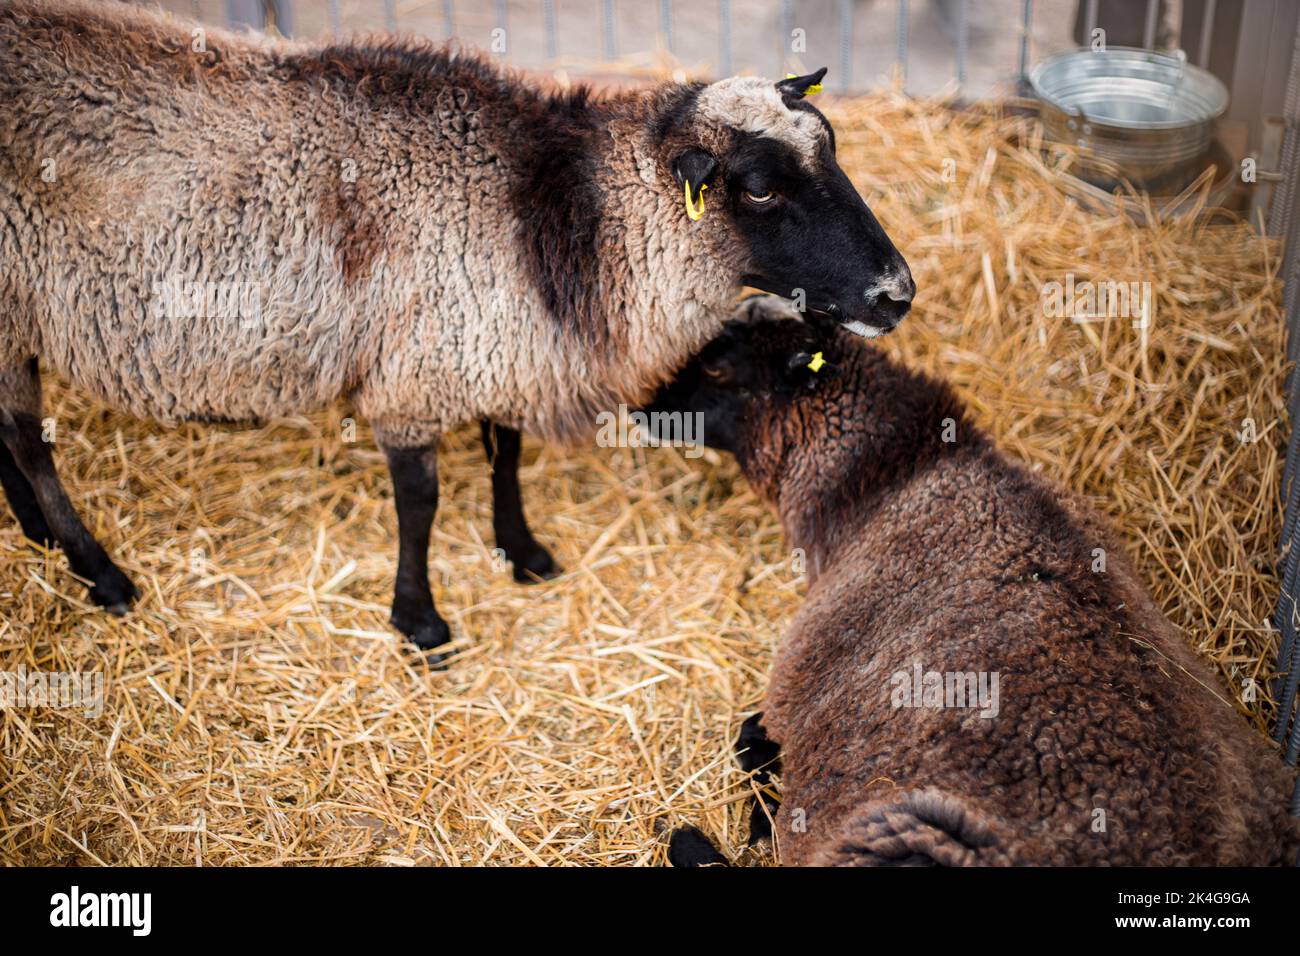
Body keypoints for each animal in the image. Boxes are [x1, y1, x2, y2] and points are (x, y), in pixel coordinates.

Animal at [0, 0, 914, 654]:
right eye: (757, 187)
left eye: (833, 147)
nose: (897, 294)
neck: (549, 213)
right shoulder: (414, 374)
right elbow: (422, 502)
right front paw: (422, 621)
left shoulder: (493, 343)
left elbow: (504, 450)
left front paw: (523, 551)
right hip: (13, 312)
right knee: (27, 440)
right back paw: (96, 569)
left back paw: (36, 533)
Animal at [656, 302, 1300, 865]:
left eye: (719, 365)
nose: (644, 405)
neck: (892, 473)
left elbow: (753, 737)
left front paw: (759, 811)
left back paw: (684, 837)